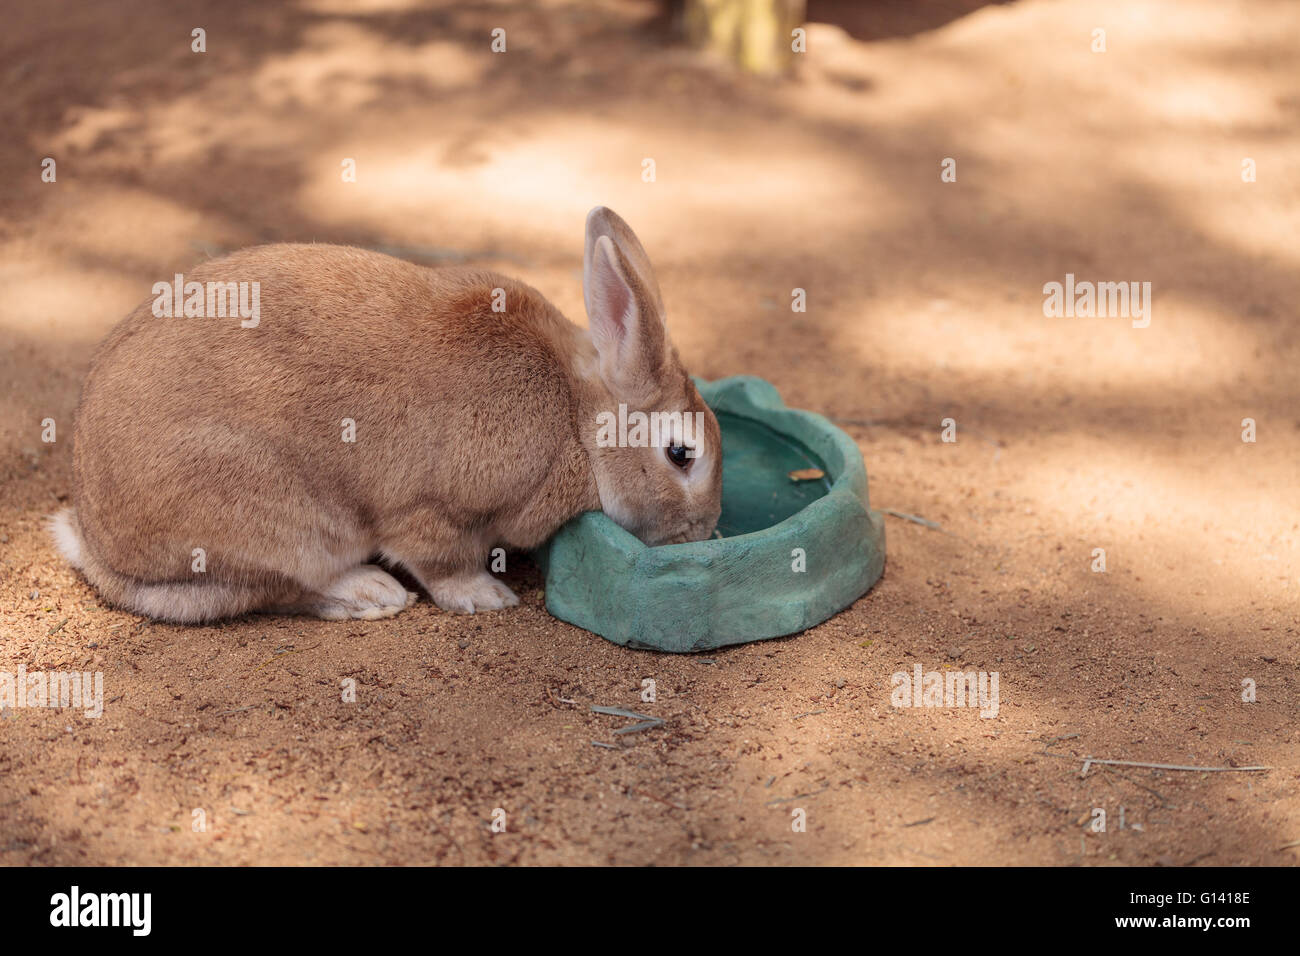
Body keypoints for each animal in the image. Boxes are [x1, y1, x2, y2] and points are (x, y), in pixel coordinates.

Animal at [50, 207, 722, 623]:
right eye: (680, 453)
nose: (704, 533)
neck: (578, 420)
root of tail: (95, 541)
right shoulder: (434, 511)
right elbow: (442, 561)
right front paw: (488, 598)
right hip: (278, 516)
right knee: (280, 586)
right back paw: (370, 593)